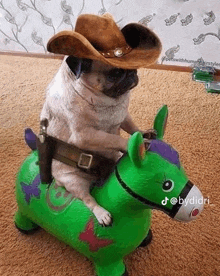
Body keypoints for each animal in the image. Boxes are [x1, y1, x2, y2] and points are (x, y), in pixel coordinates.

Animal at [40, 55, 156, 225]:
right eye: (115, 73)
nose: (132, 73)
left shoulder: (123, 116)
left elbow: (132, 127)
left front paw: (143, 133)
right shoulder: (86, 136)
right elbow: (113, 139)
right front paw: (132, 144)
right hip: (74, 181)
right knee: (88, 199)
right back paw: (102, 214)